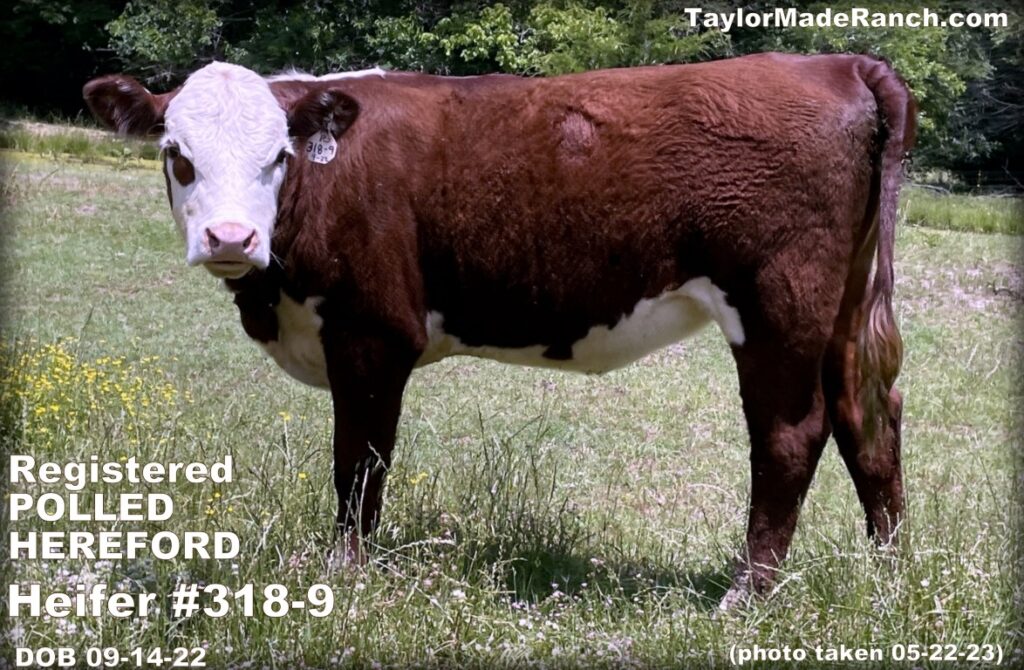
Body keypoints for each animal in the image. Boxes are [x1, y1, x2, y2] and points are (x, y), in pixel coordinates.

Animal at [83, 52, 915, 606]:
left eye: (278, 156)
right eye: (177, 156)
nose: (230, 237)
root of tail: (836, 61)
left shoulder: (372, 333)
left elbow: (359, 464)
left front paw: (344, 574)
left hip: (778, 301)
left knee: (791, 434)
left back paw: (749, 594)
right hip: (840, 303)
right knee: (867, 417)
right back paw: (887, 575)